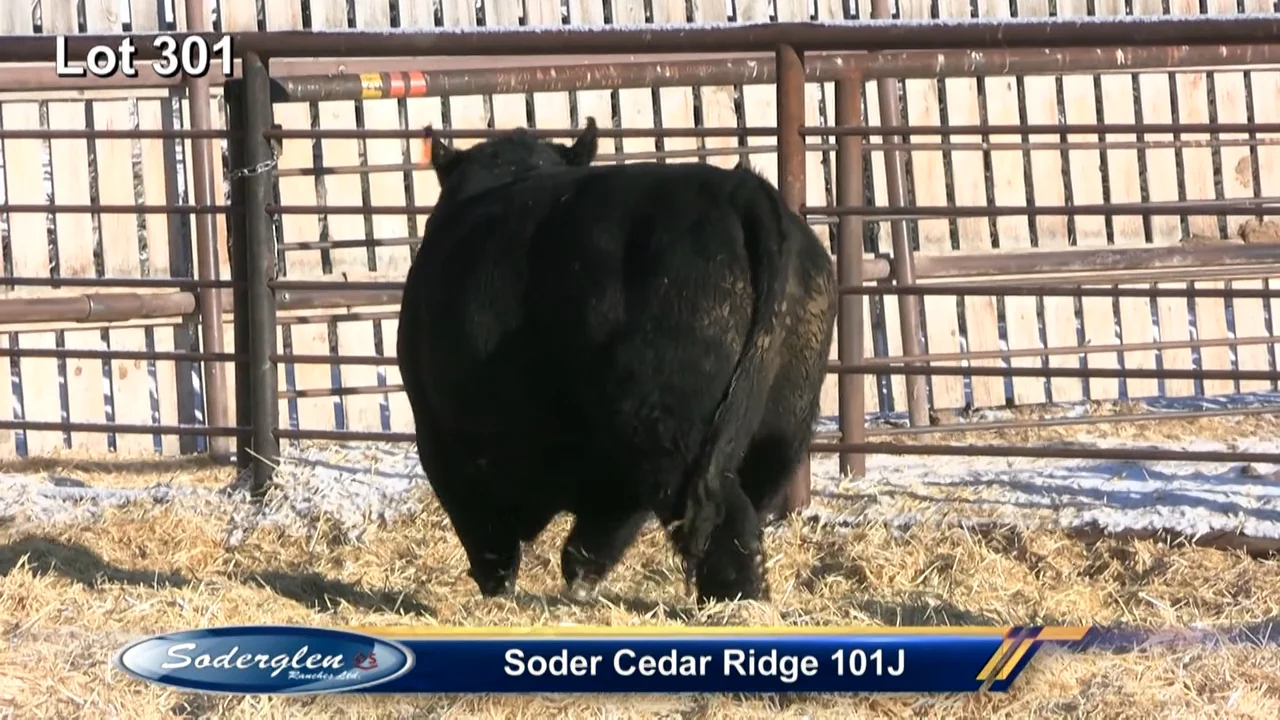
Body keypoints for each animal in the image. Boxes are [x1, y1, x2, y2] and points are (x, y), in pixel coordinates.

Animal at [396, 118, 837, 605]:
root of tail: (740, 190)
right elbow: (597, 537)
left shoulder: (443, 442)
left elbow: (488, 533)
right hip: (782, 425)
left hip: (673, 431)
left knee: (725, 514)